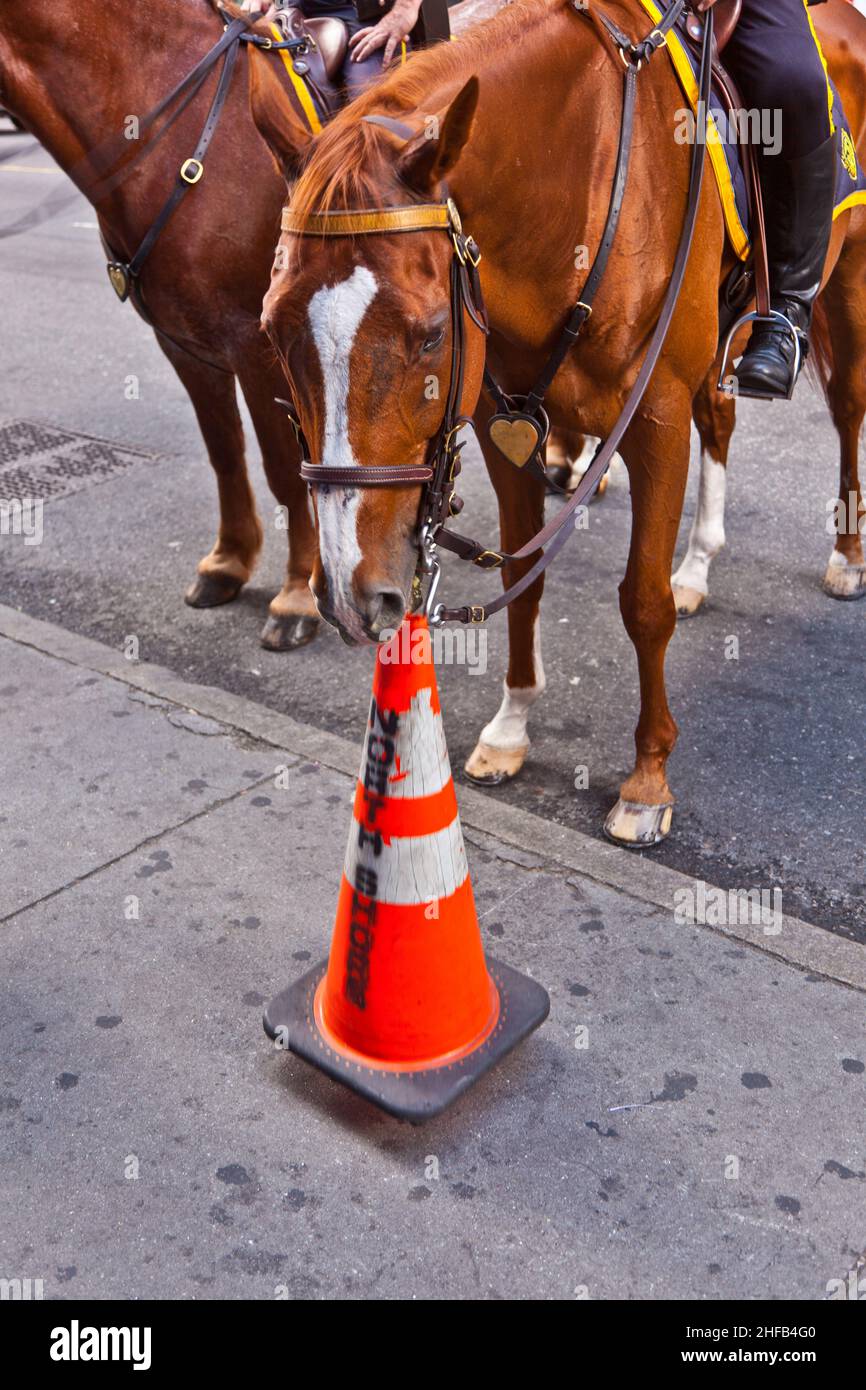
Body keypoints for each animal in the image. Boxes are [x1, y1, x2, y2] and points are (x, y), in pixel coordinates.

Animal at [250, 0, 866, 846]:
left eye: (430, 335)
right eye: (274, 330)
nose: (351, 595)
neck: (581, 177)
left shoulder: (655, 420)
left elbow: (643, 603)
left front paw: (646, 779)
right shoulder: (504, 426)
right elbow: (525, 577)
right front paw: (511, 729)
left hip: (848, 283)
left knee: (847, 409)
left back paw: (846, 554)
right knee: (721, 417)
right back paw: (700, 563)